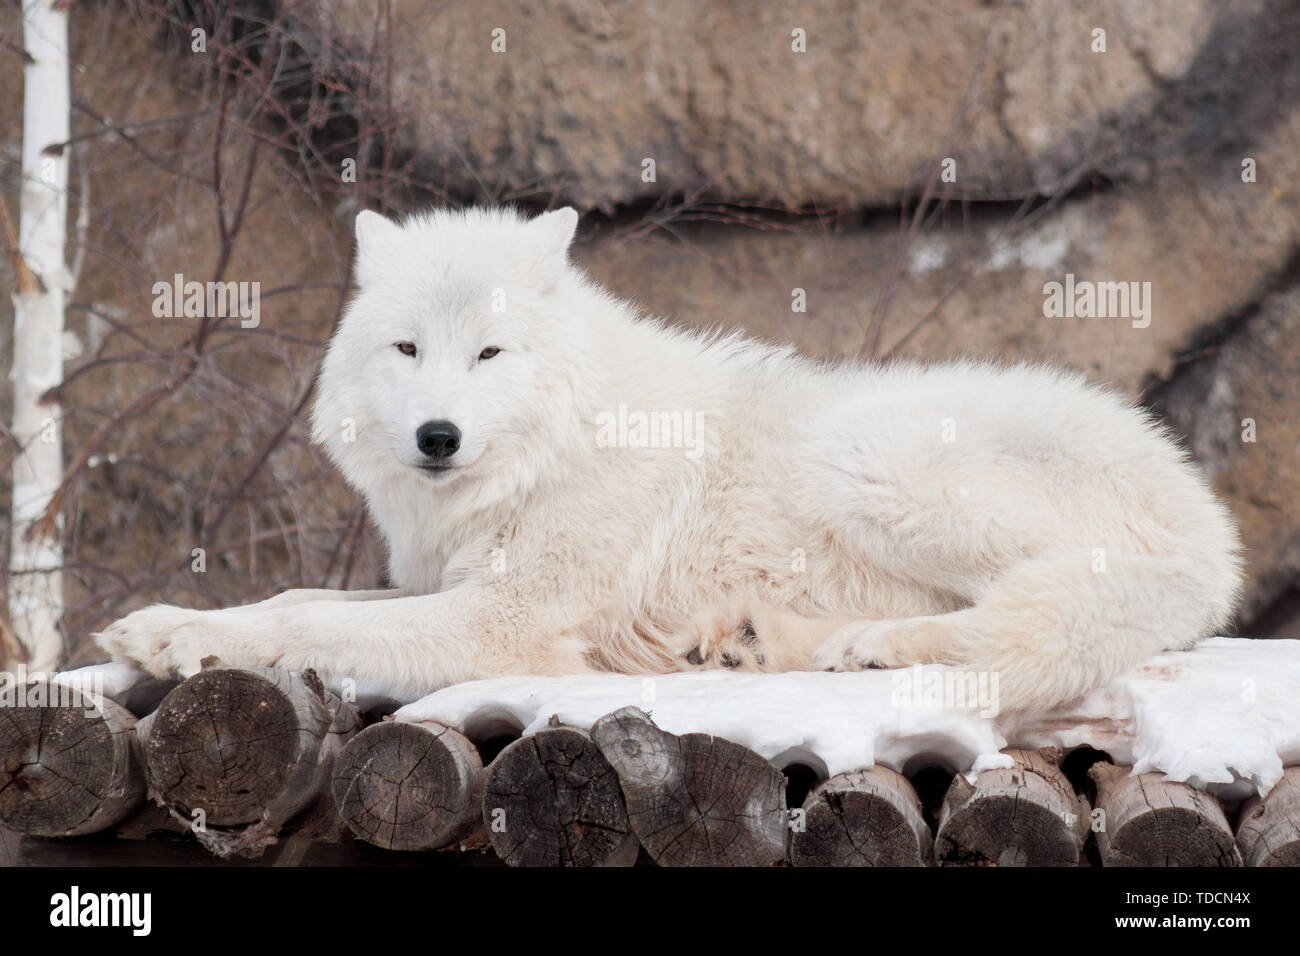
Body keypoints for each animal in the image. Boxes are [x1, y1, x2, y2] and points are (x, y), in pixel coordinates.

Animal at [98, 206, 1243, 713]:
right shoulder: (443, 582)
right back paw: (762, 644)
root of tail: (1211, 532)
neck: (550, 453)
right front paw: (166, 629)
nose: (438, 438)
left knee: (1022, 612)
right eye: (409, 349)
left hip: (867, 453)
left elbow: (310, 620)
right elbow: (295, 595)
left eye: (490, 353)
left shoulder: (504, 620)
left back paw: (873, 650)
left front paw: (191, 639)